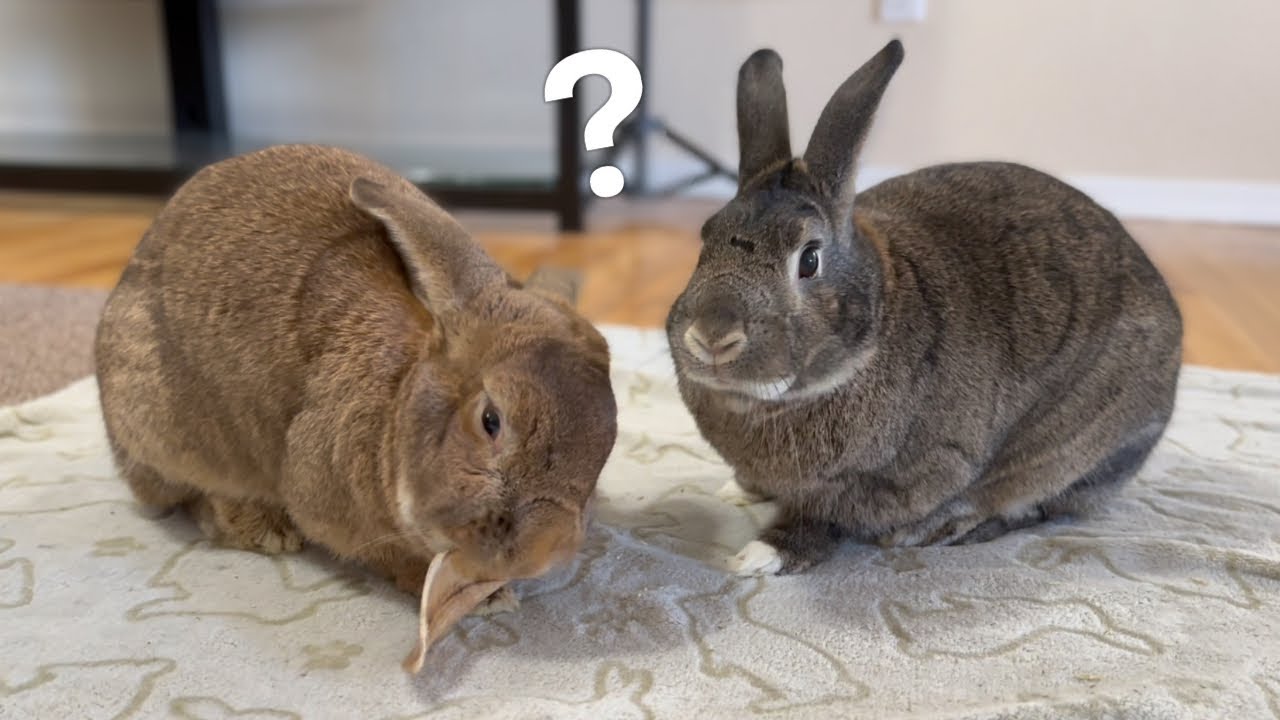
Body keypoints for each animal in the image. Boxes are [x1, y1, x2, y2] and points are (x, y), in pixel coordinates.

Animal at [95, 144, 619, 614]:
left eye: (605, 450)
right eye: (491, 420)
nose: (540, 552)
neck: (396, 400)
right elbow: (389, 556)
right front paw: (485, 597)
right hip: (167, 433)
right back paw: (267, 532)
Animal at [665, 40, 1182, 576]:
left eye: (808, 259)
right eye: (705, 237)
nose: (711, 336)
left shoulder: (882, 481)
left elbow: (823, 523)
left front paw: (758, 556)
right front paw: (737, 491)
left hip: (1071, 449)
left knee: (1029, 506)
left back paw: (938, 529)